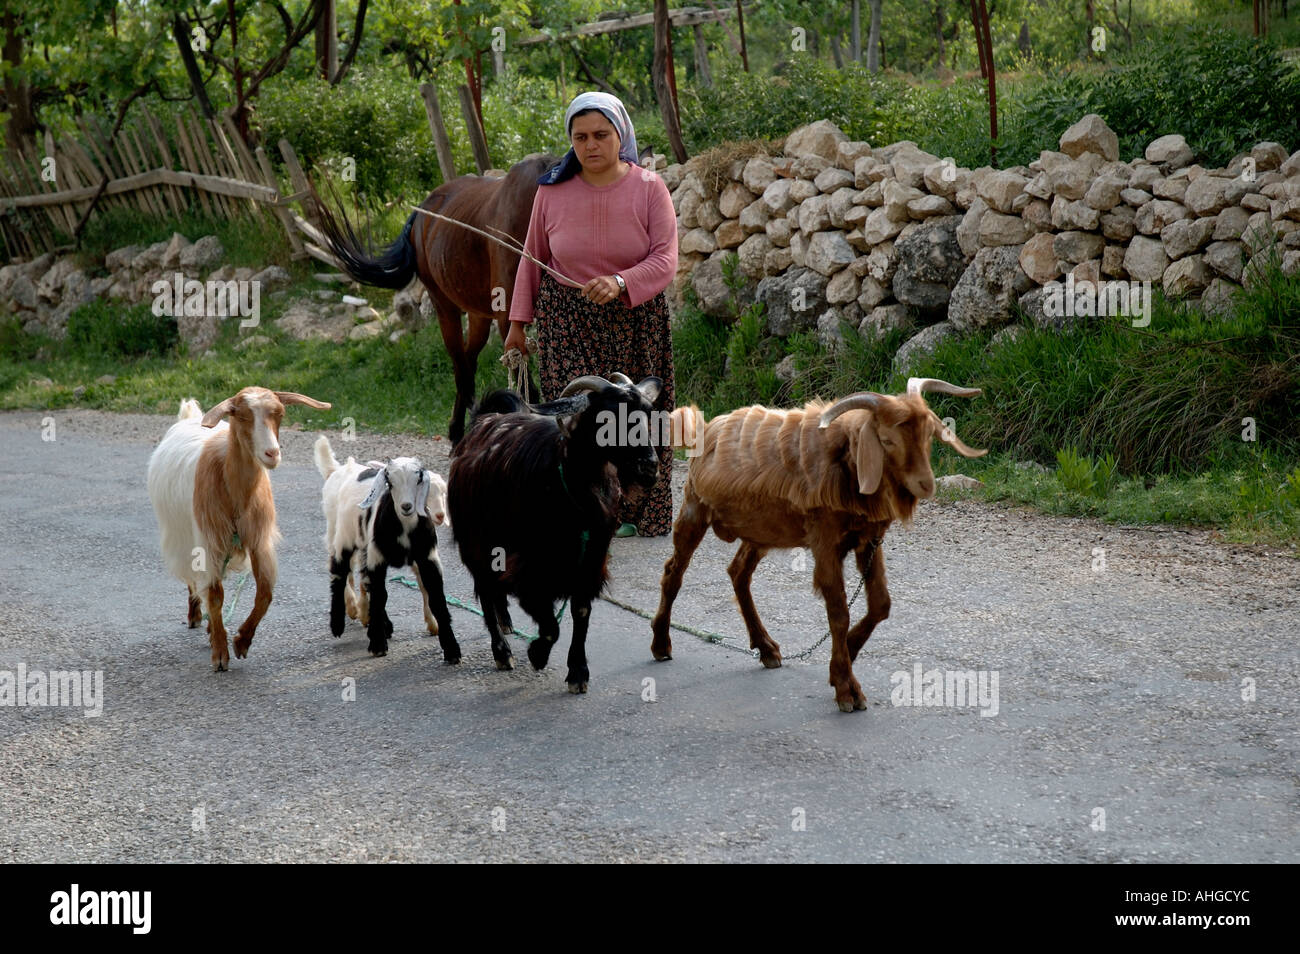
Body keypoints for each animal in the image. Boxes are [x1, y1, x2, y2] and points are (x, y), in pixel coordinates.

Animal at [147, 387, 331, 671]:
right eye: (242, 416)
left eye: (280, 413)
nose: (272, 453)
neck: (234, 493)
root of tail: (188, 418)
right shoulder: (208, 541)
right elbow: (214, 595)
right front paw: (220, 653)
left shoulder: (258, 540)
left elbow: (265, 593)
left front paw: (241, 640)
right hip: (182, 534)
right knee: (193, 579)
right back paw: (196, 615)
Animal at [314, 437, 459, 662]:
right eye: (390, 483)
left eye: (419, 481)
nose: (407, 506)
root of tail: (339, 469)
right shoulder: (377, 557)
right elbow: (380, 596)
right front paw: (377, 643)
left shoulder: (427, 558)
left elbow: (436, 597)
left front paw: (450, 647)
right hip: (341, 537)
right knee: (339, 573)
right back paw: (341, 620)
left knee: (361, 580)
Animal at [448, 374, 663, 691]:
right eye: (607, 417)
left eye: (648, 414)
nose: (648, 467)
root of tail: (485, 420)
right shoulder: (530, 566)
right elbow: (550, 625)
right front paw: (537, 654)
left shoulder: (591, 561)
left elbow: (580, 612)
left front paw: (578, 672)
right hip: (475, 540)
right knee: (486, 591)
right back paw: (502, 652)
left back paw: (505, 622)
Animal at [651, 378, 986, 712]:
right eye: (886, 440)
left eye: (929, 434)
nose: (925, 484)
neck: (845, 459)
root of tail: (707, 428)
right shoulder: (824, 539)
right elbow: (838, 611)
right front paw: (846, 686)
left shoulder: (868, 540)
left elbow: (881, 604)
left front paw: (849, 650)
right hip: (695, 508)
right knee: (673, 573)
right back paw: (661, 643)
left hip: (762, 531)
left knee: (738, 572)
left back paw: (766, 647)